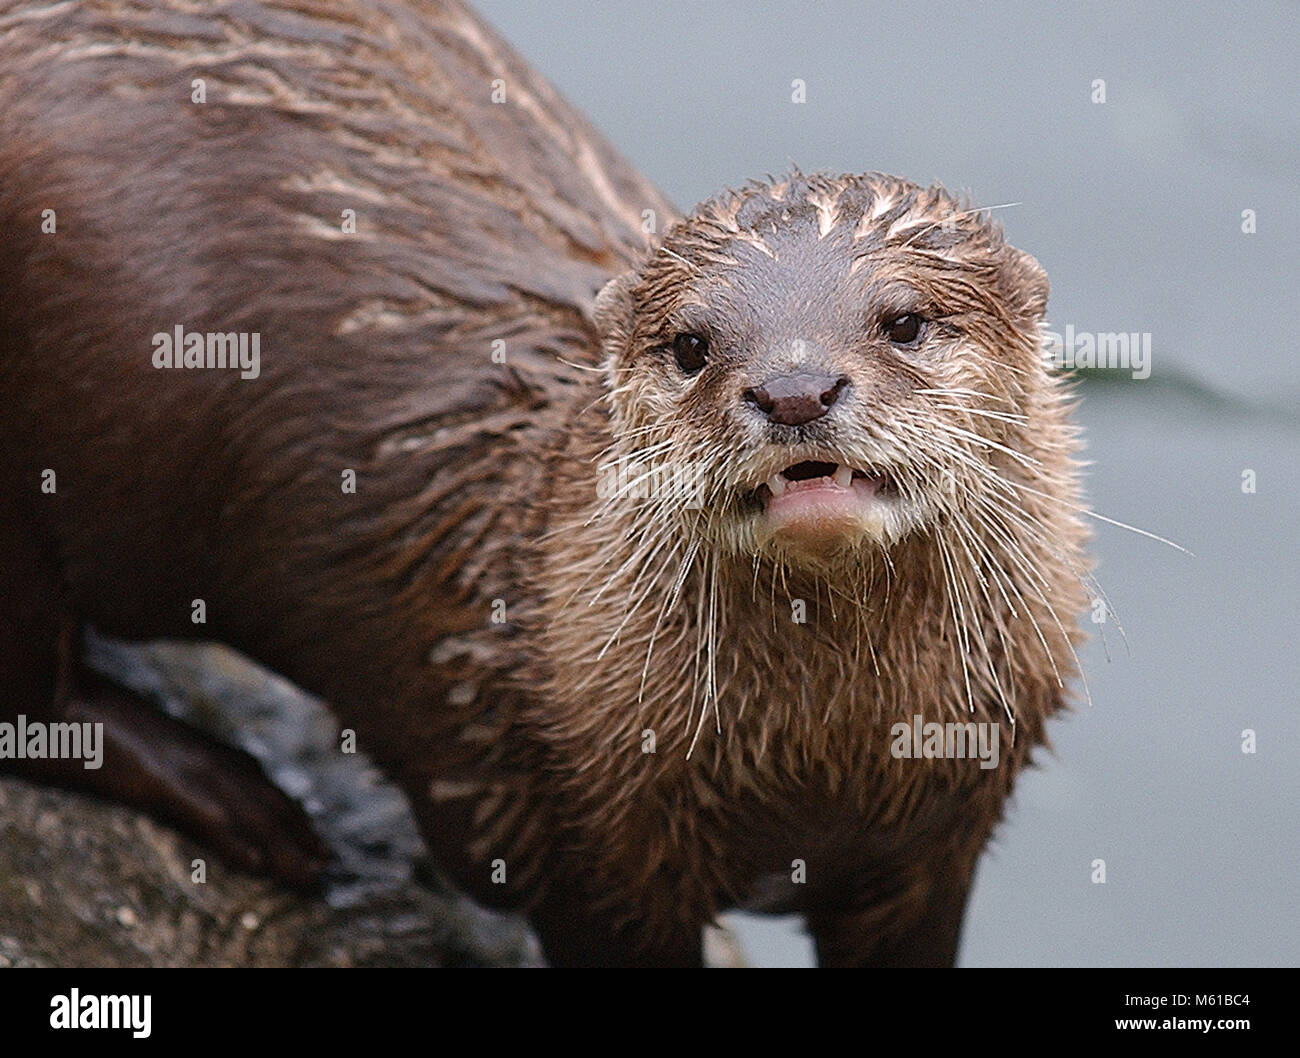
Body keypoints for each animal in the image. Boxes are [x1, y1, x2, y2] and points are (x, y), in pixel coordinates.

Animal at [0, 0, 1089, 966]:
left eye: (904, 321)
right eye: (691, 346)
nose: (792, 389)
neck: (821, 769)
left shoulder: (937, 846)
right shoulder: (578, 845)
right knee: (33, 702)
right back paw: (245, 804)